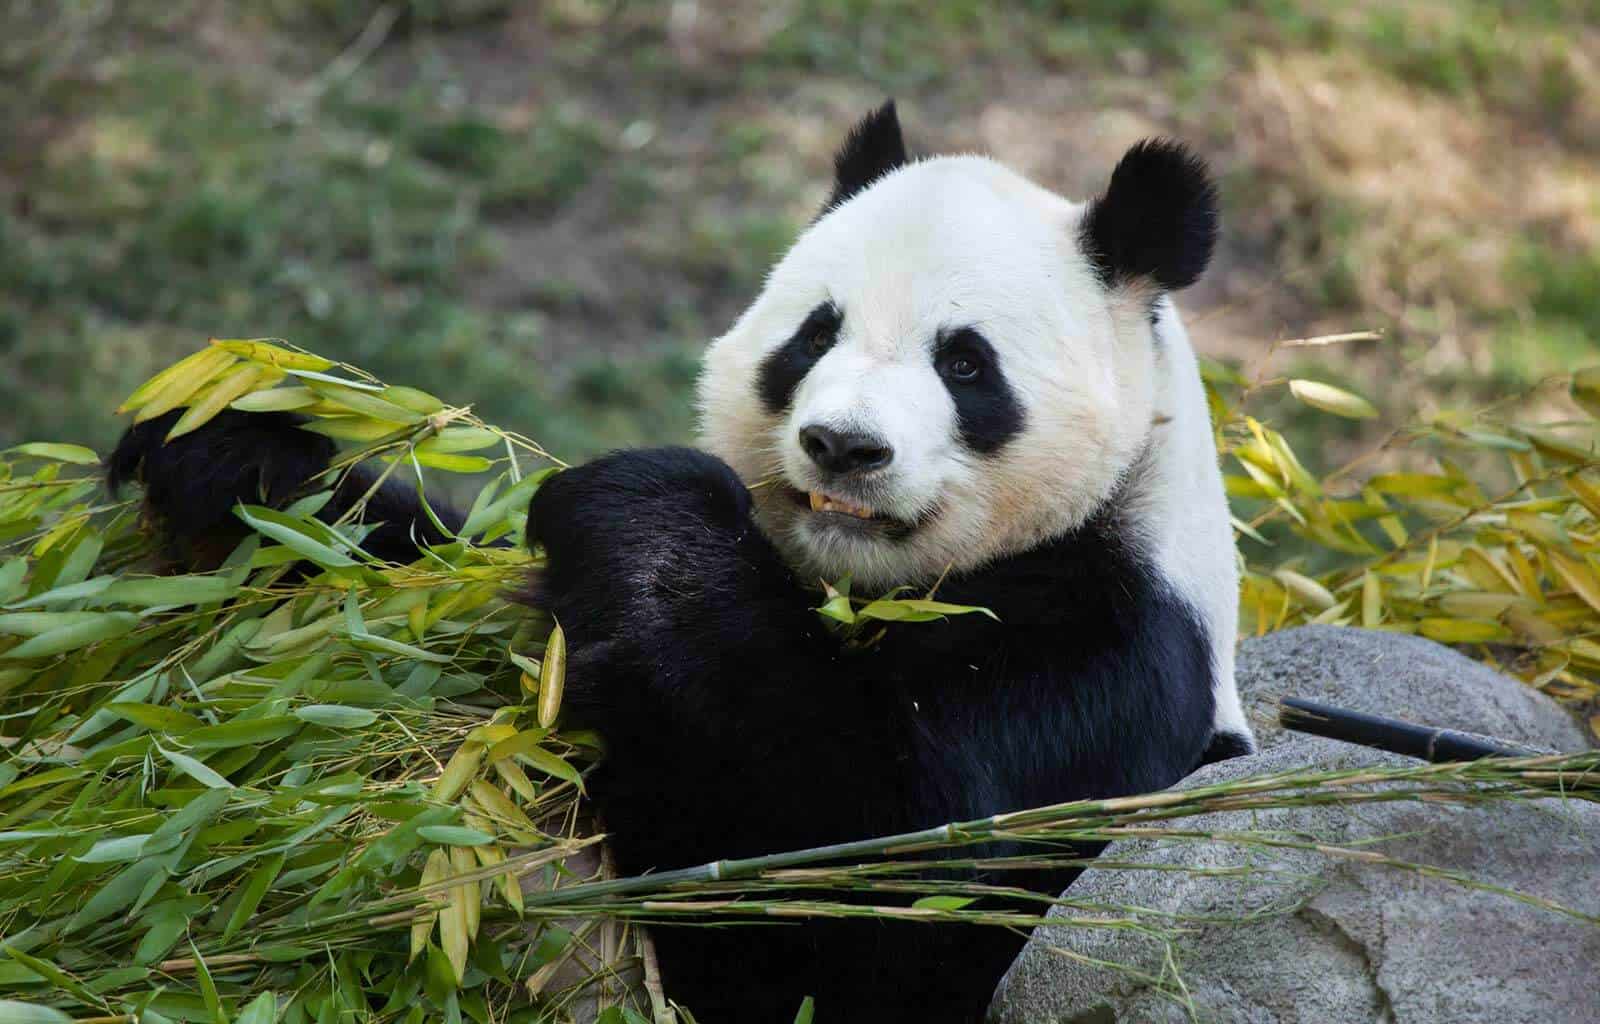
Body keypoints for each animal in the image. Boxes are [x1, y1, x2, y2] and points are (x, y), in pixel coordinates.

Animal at [111, 102, 1252, 1023]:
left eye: (965, 363)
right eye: (813, 335)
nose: (842, 446)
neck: (865, 584)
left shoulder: (1106, 666)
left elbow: (861, 871)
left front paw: (643, 505)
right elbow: (405, 565)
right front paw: (224, 446)